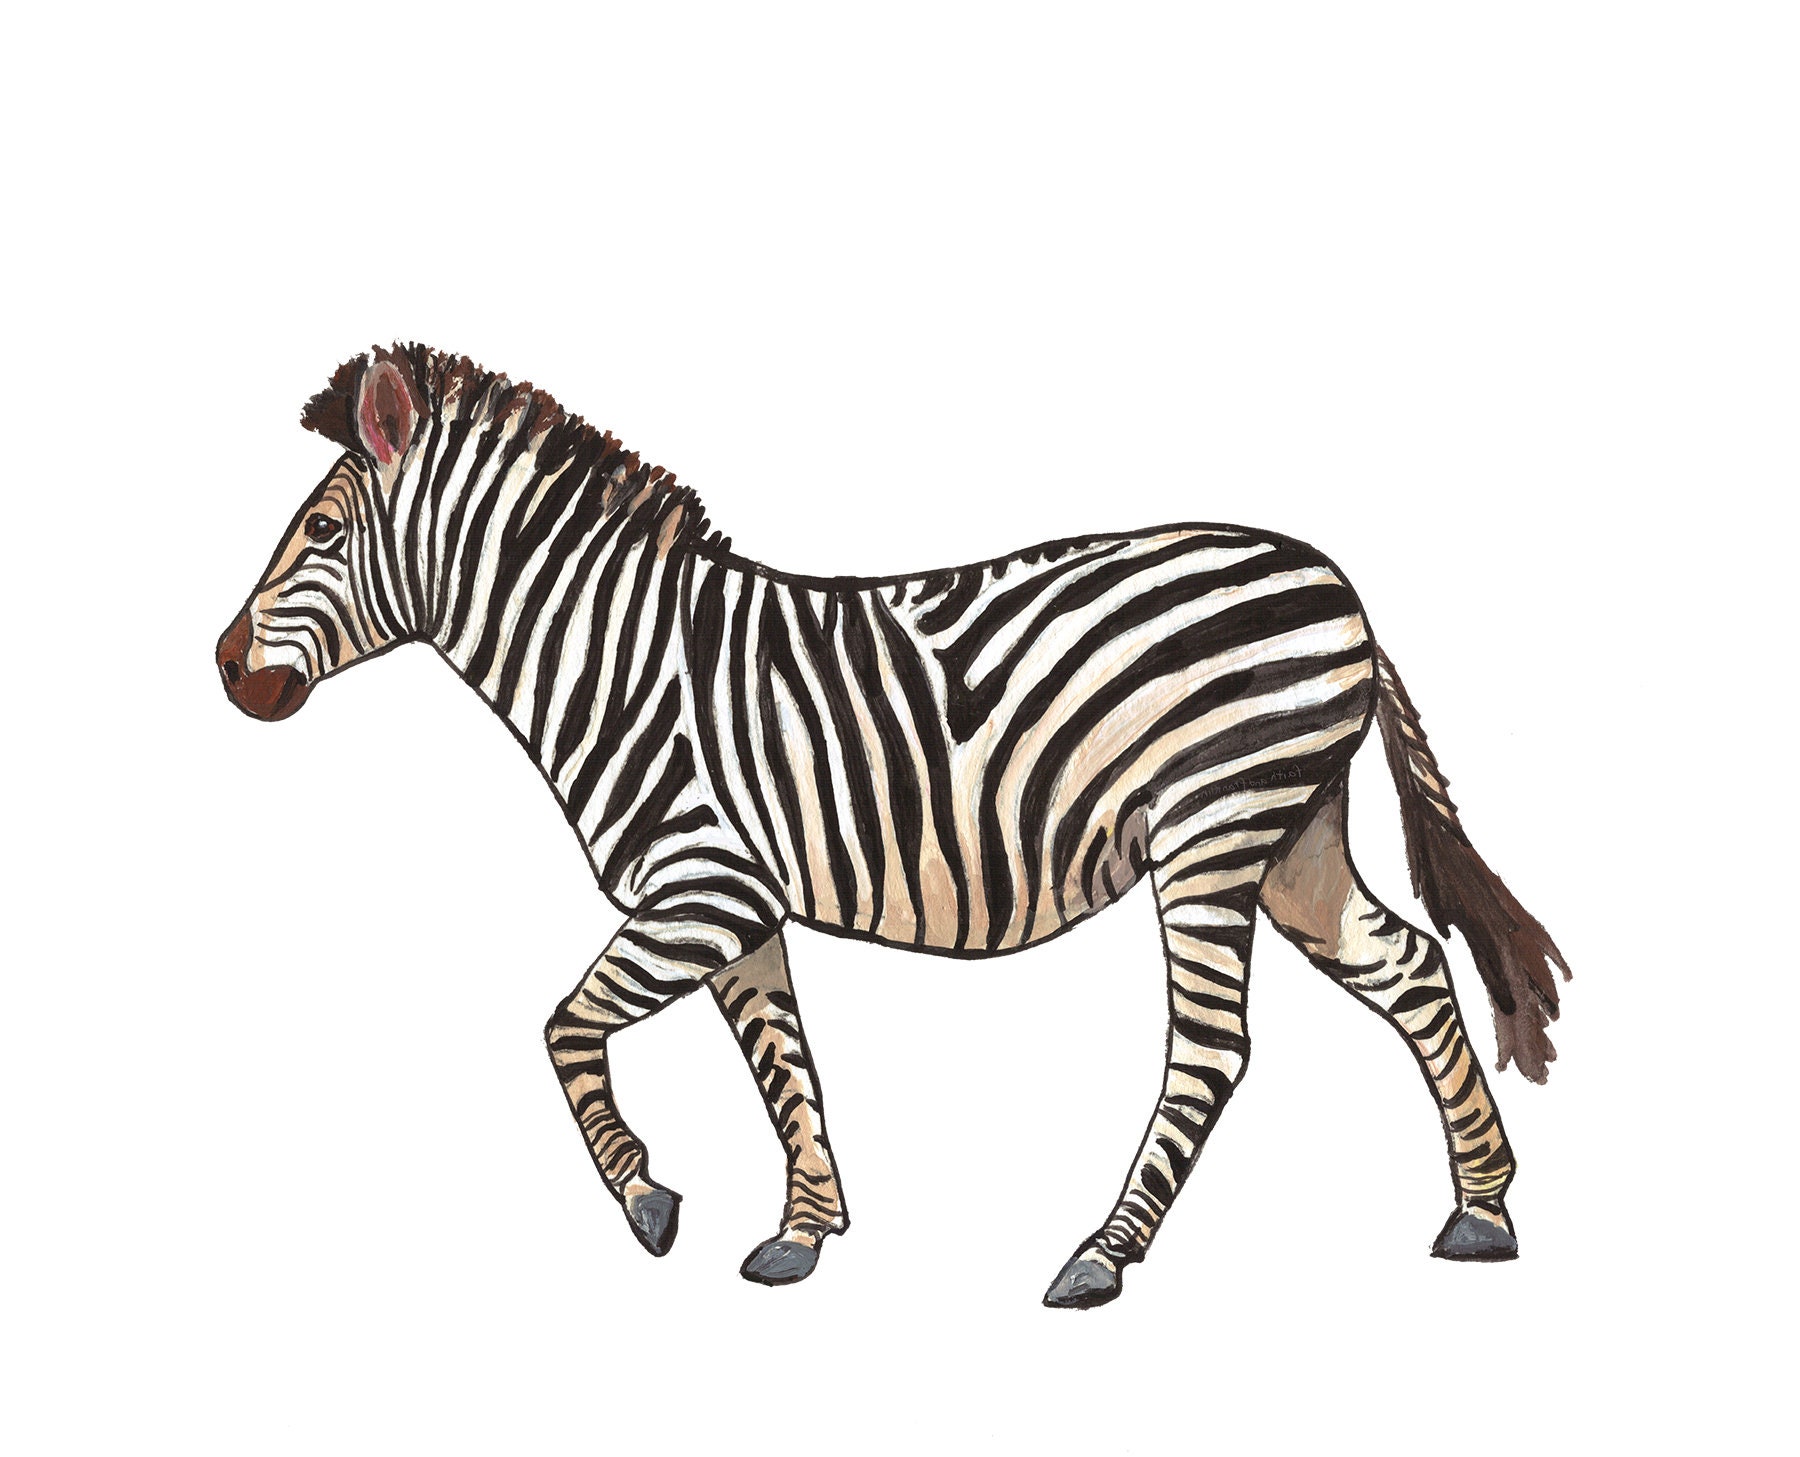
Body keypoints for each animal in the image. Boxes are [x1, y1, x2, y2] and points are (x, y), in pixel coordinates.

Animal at [216, 344, 1570, 1308]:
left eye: (322, 532)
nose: (226, 668)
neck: (619, 661)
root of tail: (1338, 584)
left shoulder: (696, 890)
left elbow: (561, 1027)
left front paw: (649, 1200)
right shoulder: (738, 902)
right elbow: (784, 1060)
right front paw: (803, 1230)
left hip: (1211, 830)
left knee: (1213, 1048)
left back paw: (1101, 1252)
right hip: (1289, 841)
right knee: (1412, 968)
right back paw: (1485, 1212)